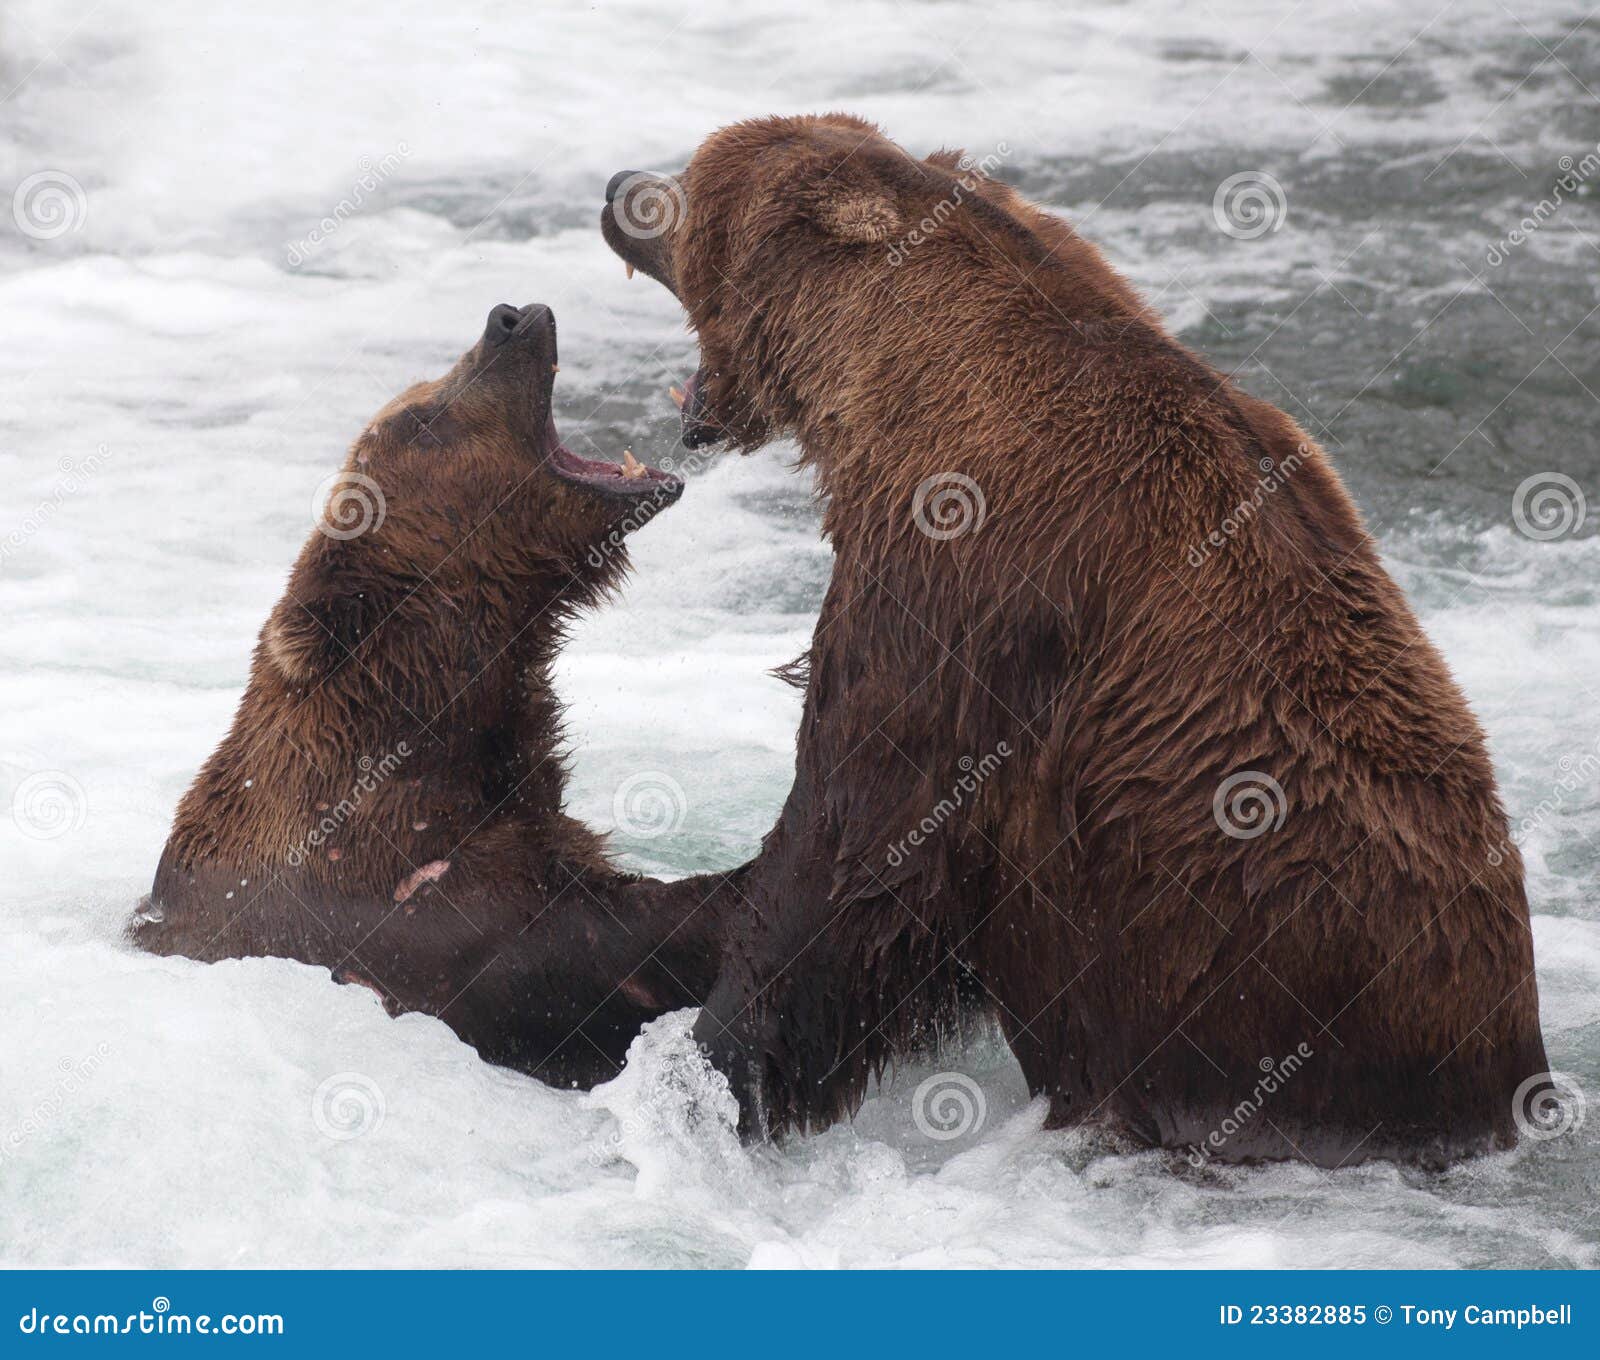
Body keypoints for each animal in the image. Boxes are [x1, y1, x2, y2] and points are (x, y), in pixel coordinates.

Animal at [601, 115, 1551, 1165]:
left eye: (689, 180)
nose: (616, 187)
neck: (891, 383)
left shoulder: (958, 602)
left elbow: (854, 852)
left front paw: (705, 1075)